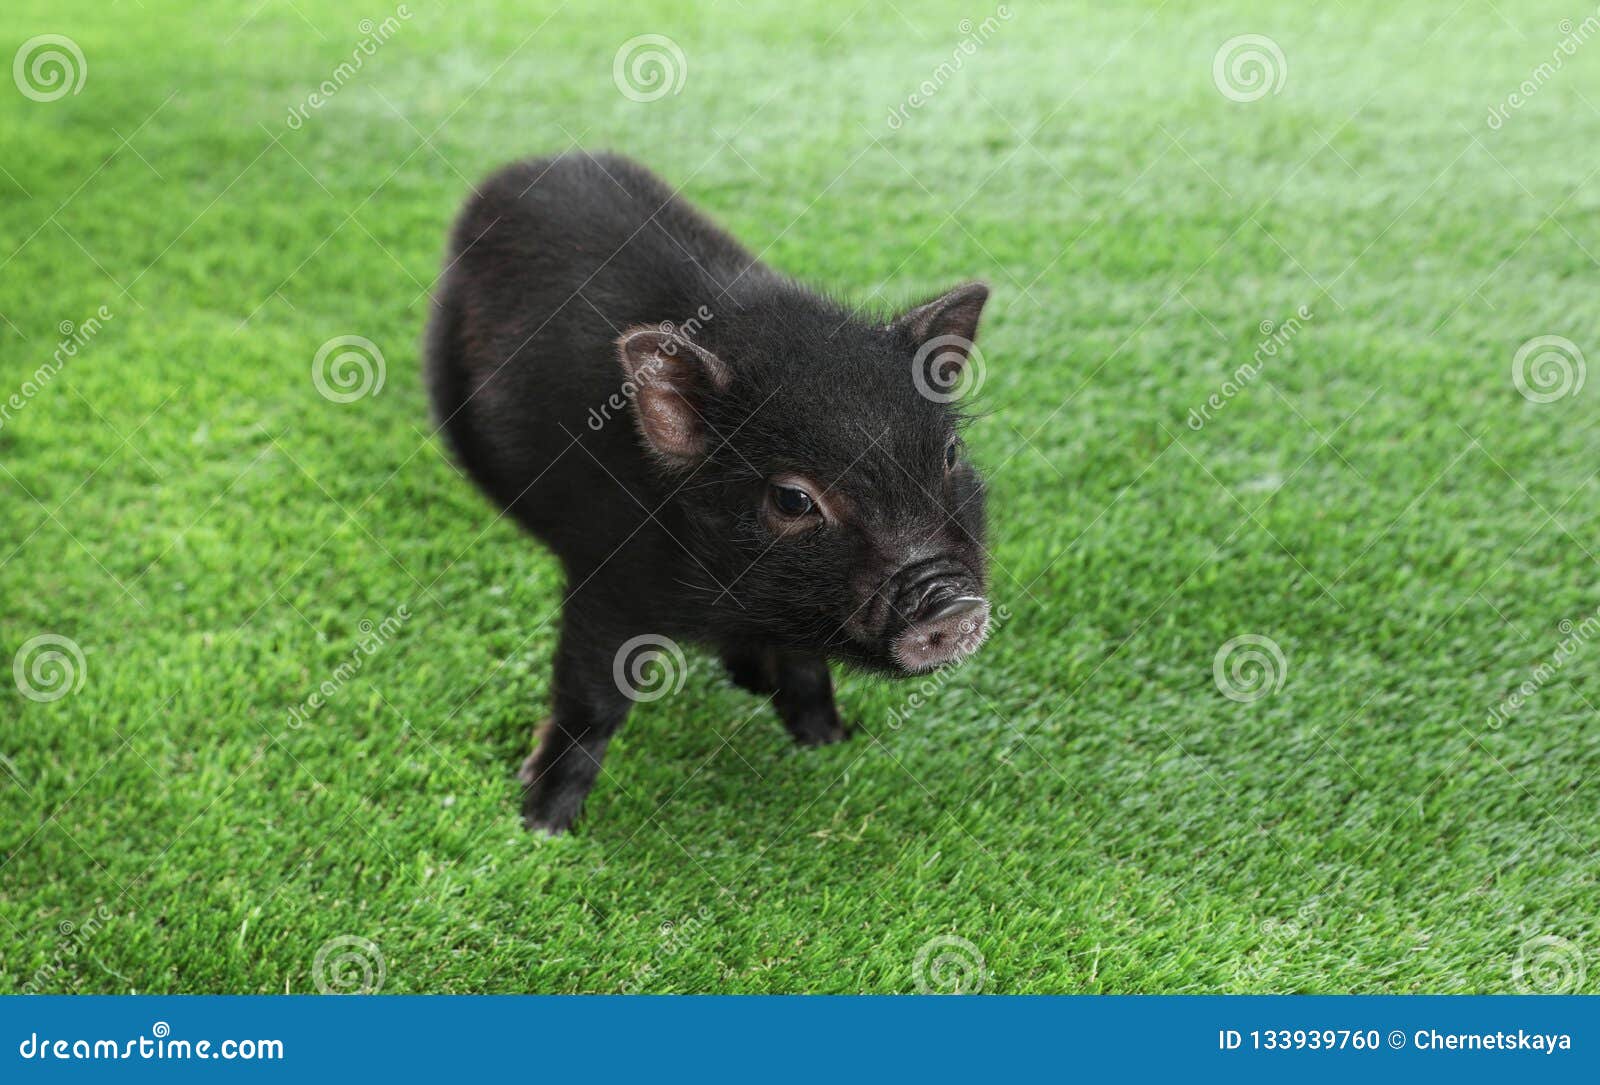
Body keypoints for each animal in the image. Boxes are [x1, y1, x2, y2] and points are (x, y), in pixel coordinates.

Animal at [425, 151, 992, 834]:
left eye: (949, 454)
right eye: (793, 500)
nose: (952, 602)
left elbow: (806, 668)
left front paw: (827, 742)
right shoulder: (604, 580)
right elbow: (593, 703)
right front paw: (542, 823)